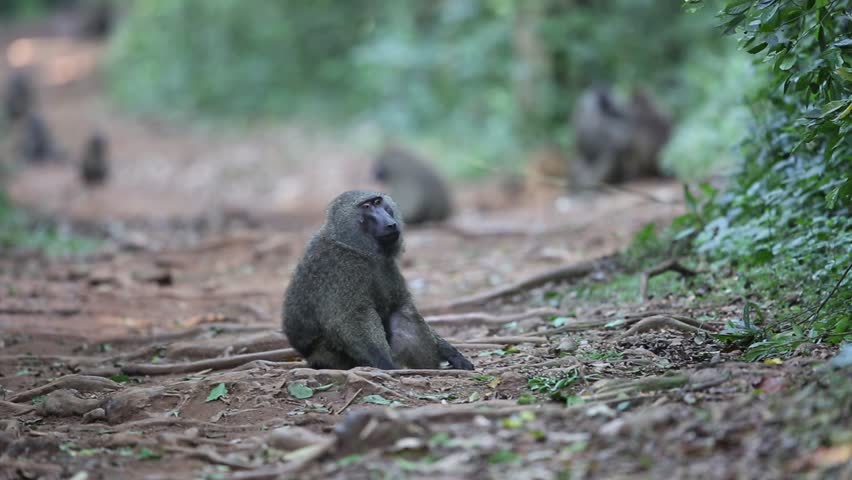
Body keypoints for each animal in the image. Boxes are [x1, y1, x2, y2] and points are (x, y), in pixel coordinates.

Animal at [282, 190, 474, 371]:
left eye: (378, 202)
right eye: (366, 207)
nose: (391, 224)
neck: (352, 246)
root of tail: (311, 359)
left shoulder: (387, 265)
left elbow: (402, 304)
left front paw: (451, 353)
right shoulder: (341, 268)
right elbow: (350, 317)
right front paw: (385, 364)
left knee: (403, 313)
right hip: (331, 356)